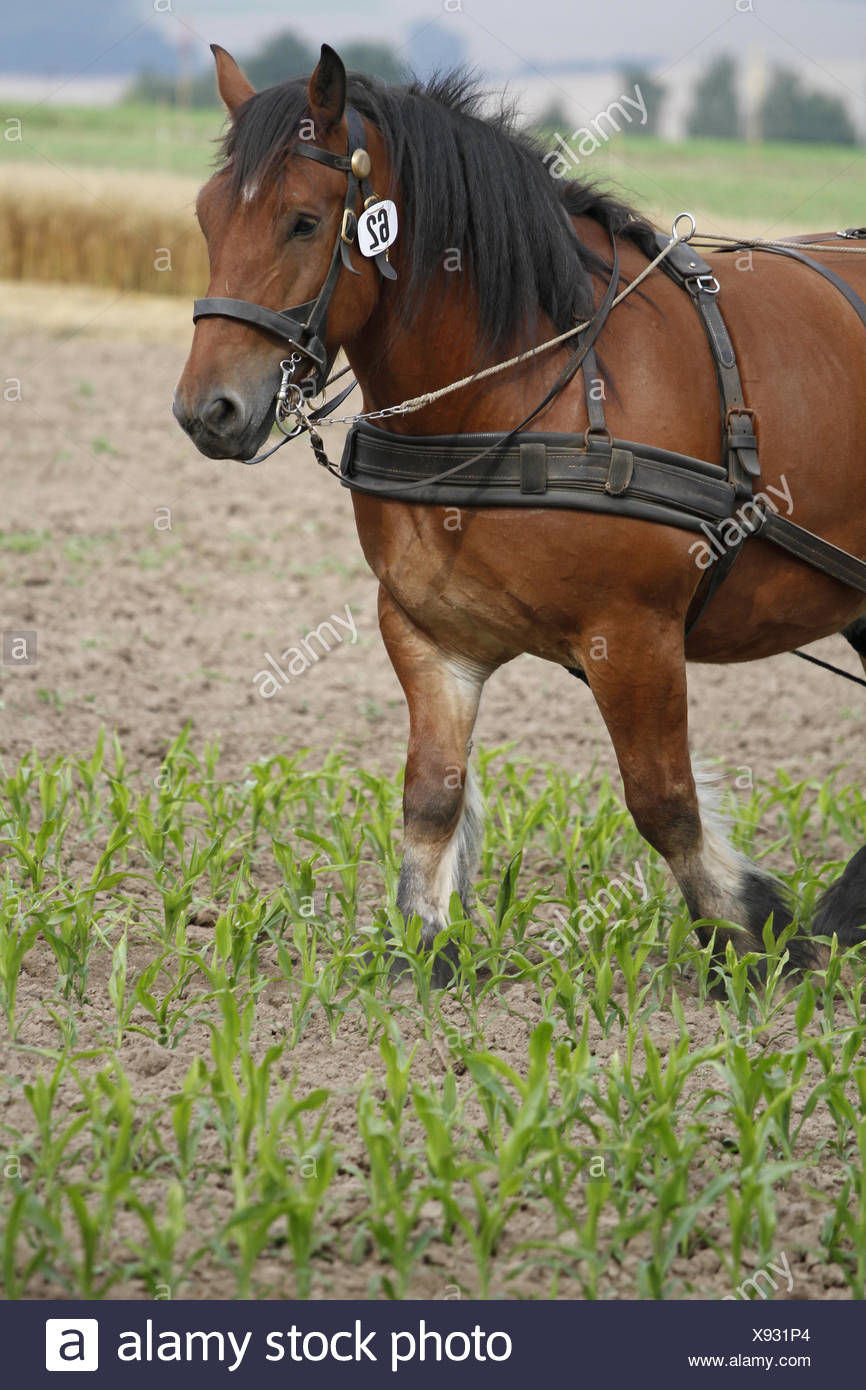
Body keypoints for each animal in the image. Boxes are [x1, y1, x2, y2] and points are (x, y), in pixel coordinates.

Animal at [173, 43, 866, 981]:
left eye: (305, 223)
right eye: (208, 217)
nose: (207, 411)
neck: (520, 388)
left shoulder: (634, 636)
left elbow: (664, 801)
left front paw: (749, 937)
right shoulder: (427, 633)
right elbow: (431, 794)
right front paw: (423, 944)